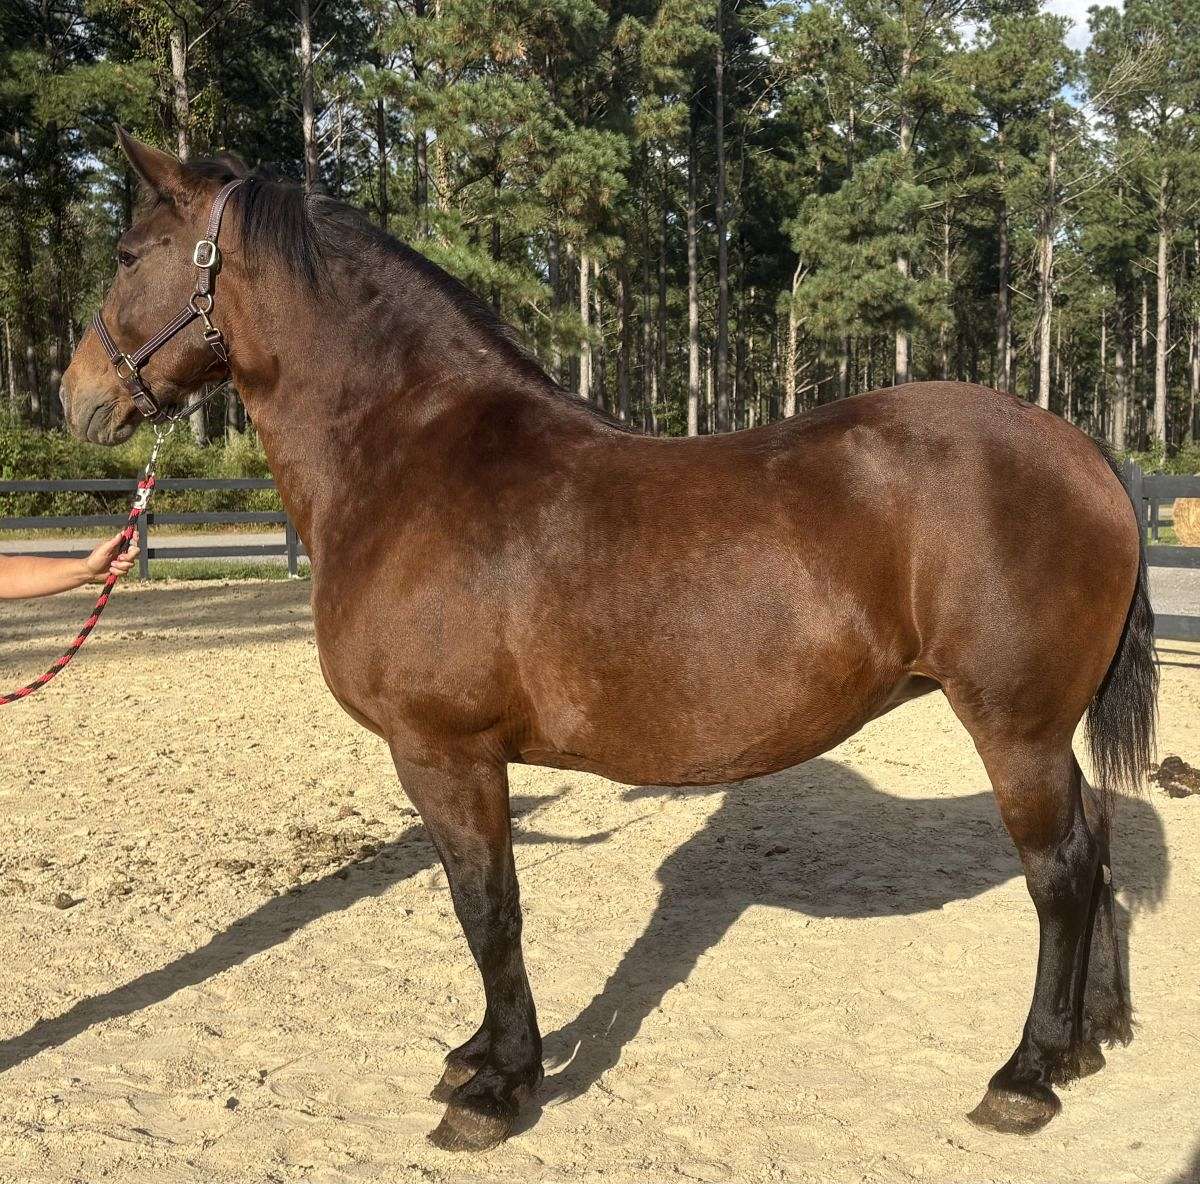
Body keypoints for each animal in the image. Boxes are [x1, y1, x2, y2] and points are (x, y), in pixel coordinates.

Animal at [60, 129, 1157, 1154]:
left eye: (127, 252)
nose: (77, 398)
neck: (410, 454)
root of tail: (1083, 449)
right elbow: (479, 906)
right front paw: (479, 1055)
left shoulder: (445, 752)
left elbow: (487, 907)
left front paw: (498, 1087)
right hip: (1044, 732)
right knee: (1095, 840)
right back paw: (1084, 1039)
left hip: (1012, 728)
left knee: (1060, 871)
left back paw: (1025, 1075)